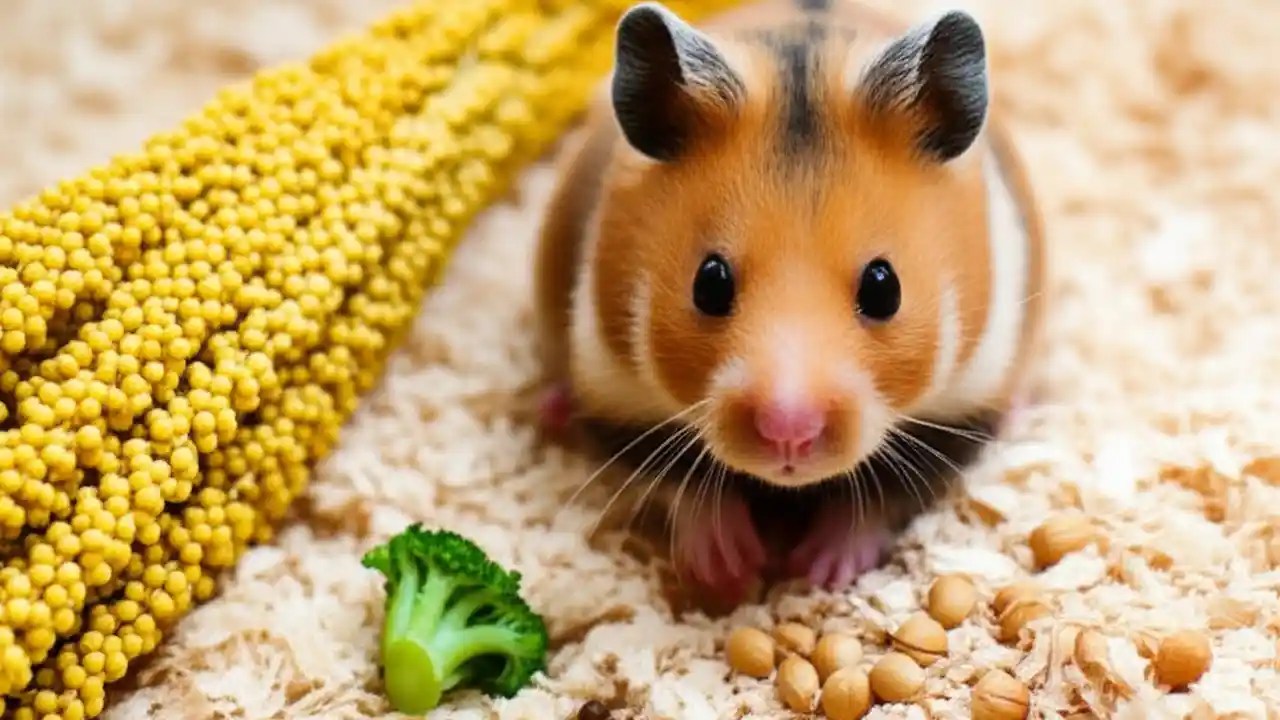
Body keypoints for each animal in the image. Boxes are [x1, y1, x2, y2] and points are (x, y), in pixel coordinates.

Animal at [532, 0, 1045, 607]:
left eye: (884, 287)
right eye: (709, 283)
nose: (788, 433)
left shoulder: (956, 414)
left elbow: (877, 498)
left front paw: (821, 570)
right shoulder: (620, 401)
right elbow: (687, 486)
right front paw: (729, 569)